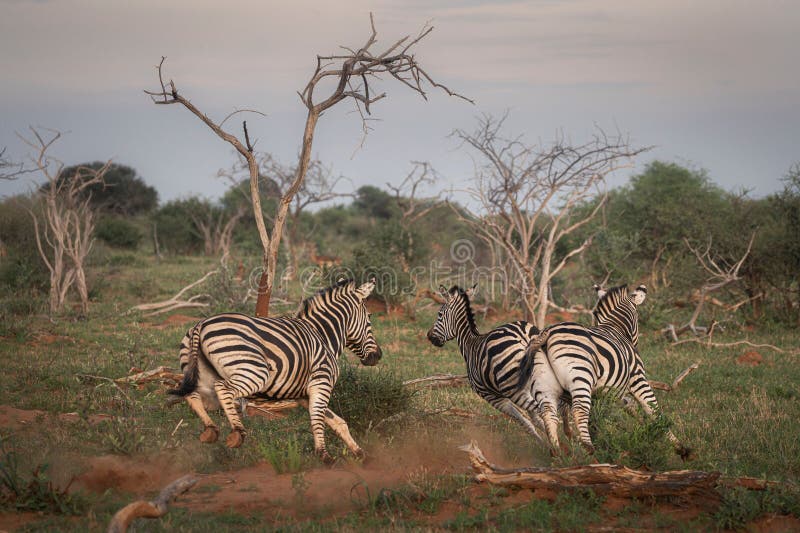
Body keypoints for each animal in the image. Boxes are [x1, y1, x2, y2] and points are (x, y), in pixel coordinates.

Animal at [170, 278, 382, 463]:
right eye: (369, 318)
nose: (378, 355)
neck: (322, 335)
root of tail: (200, 324)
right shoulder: (321, 382)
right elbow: (318, 420)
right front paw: (325, 456)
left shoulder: (303, 394)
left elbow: (337, 422)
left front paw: (360, 454)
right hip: (253, 371)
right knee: (224, 389)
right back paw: (238, 432)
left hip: (200, 374)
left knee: (191, 394)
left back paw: (211, 429)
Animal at [426, 285, 553, 444]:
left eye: (440, 315)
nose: (429, 336)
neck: (469, 343)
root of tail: (522, 334)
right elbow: (535, 420)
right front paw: (551, 443)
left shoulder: (493, 397)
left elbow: (525, 422)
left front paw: (548, 445)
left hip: (513, 389)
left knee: (546, 410)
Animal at [518, 284, 690, 457]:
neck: (616, 327)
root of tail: (546, 333)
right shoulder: (637, 378)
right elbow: (653, 409)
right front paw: (680, 448)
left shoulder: (603, 393)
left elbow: (599, 419)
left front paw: (606, 442)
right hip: (580, 377)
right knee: (579, 411)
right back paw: (589, 449)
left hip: (544, 383)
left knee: (549, 415)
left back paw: (558, 453)